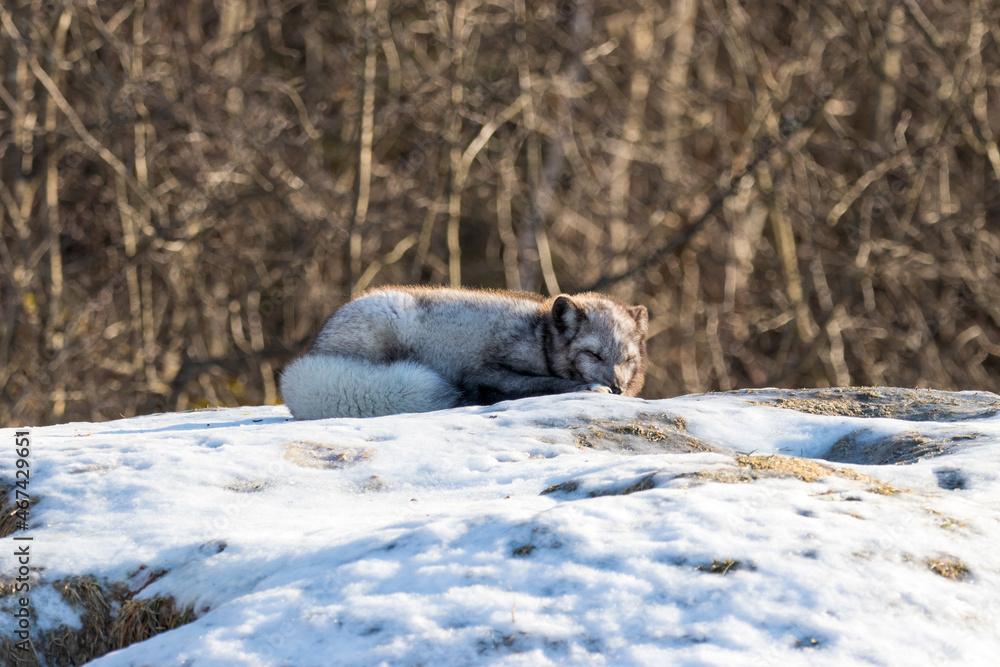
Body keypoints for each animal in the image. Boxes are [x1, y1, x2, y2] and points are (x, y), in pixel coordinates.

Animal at [279, 286, 648, 419]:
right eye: (594, 355)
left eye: (627, 360)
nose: (617, 388)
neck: (541, 338)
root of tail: (316, 350)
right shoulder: (486, 373)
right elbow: (546, 383)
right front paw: (589, 387)